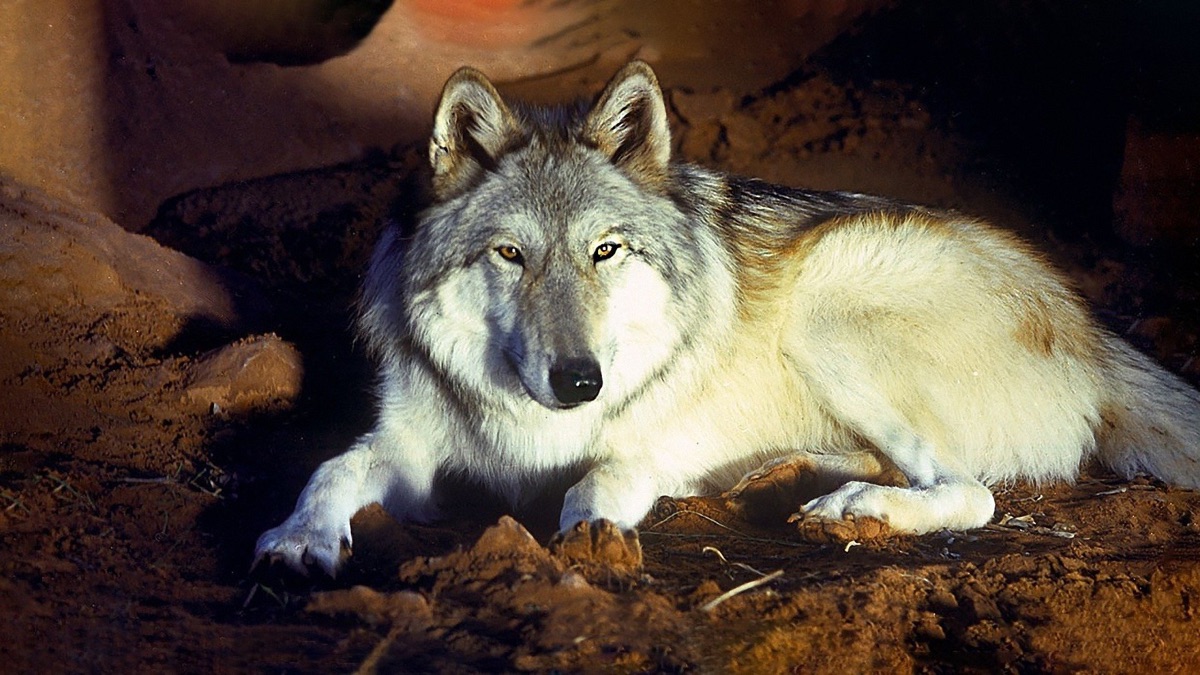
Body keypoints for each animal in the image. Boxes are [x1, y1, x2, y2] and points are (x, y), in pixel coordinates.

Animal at [255, 60, 1200, 576]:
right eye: (511, 254)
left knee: (973, 491)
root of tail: (1089, 323)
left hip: (827, 301)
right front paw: (297, 538)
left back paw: (855, 508)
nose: (580, 380)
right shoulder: (411, 447)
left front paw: (592, 537)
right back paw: (787, 476)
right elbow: (333, 467)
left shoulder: (645, 440)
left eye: (606, 251)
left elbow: (600, 476)